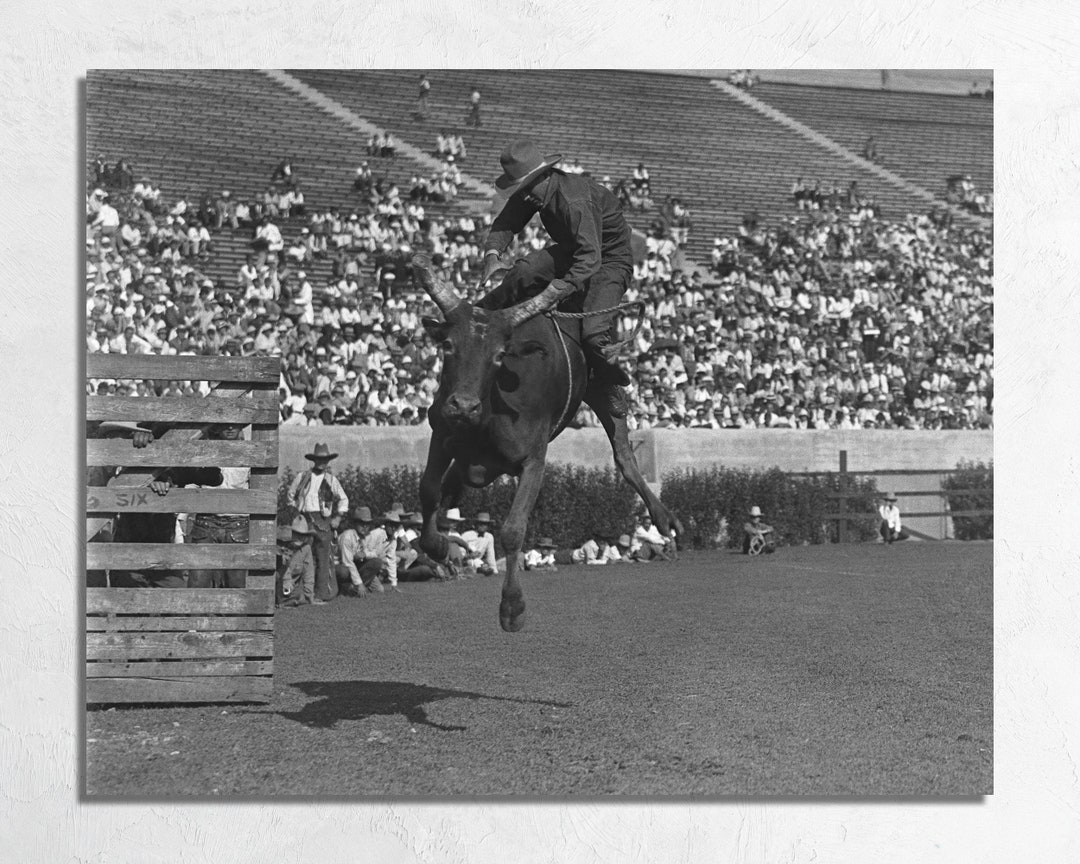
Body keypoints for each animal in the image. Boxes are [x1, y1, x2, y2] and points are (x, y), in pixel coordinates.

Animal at [411, 254, 682, 632]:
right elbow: (428, 490)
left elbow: (512, 530)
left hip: (601, 391)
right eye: (448, 346)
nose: (464, 405)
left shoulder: (533, 461)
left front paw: (512, 607)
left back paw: (663, 516)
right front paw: (435, 545)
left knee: (624, 455)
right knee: (452, 484)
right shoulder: (442, 431)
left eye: (499, 355)